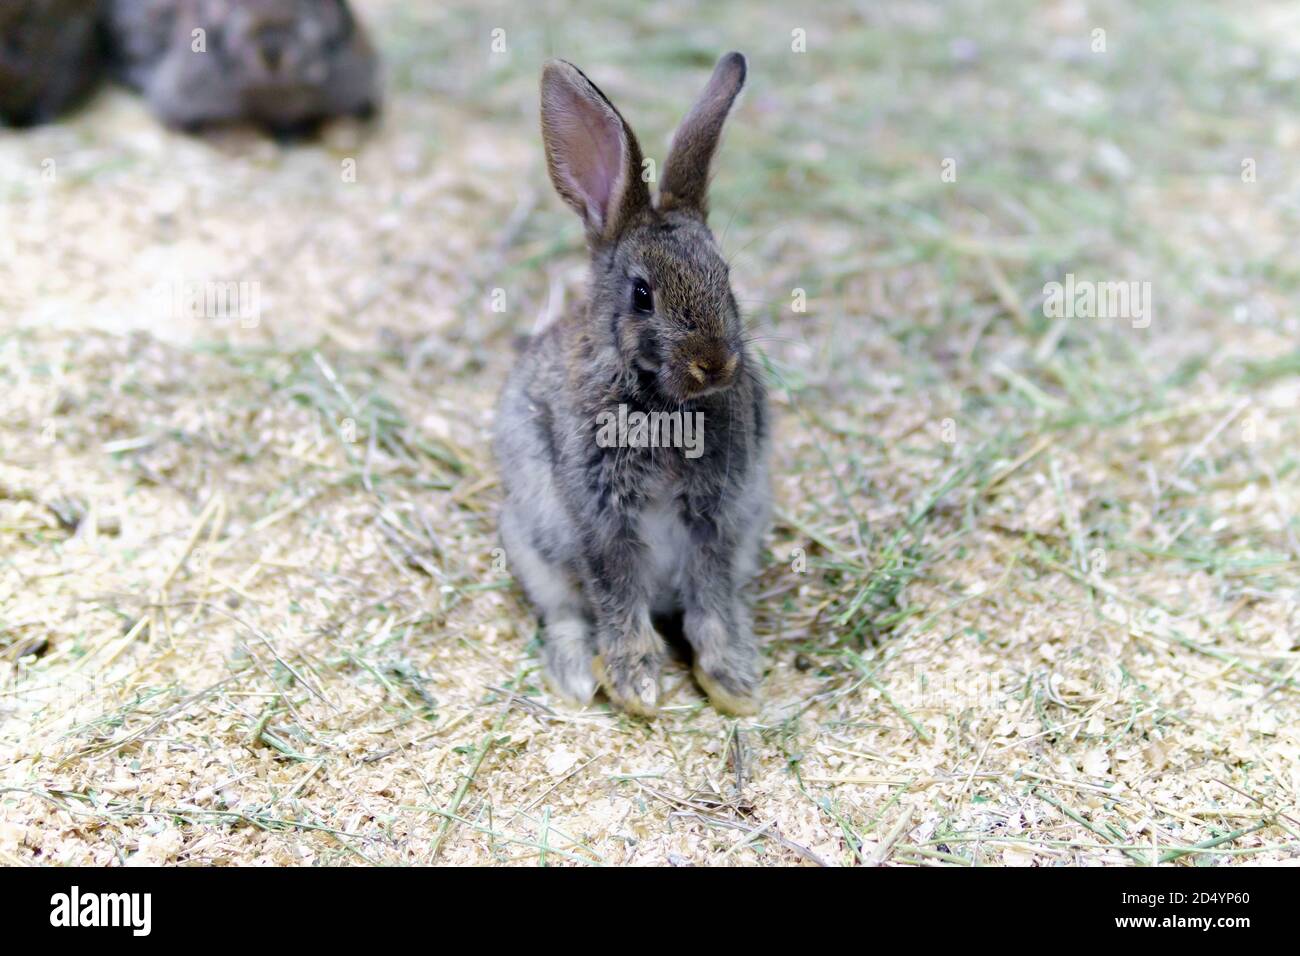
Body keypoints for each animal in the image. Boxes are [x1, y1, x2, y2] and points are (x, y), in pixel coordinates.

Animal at [494, 52, 770, 717]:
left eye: (725, 276)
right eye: (642, 295)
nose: (714, 365)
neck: (664, 403)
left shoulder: (717, 514)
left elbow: (711, 596)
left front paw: (731, 683)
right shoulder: (599, 515)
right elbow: (615, 590)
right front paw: (637, 685)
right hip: (530, 544)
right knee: (566, 614)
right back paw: (575, 678)